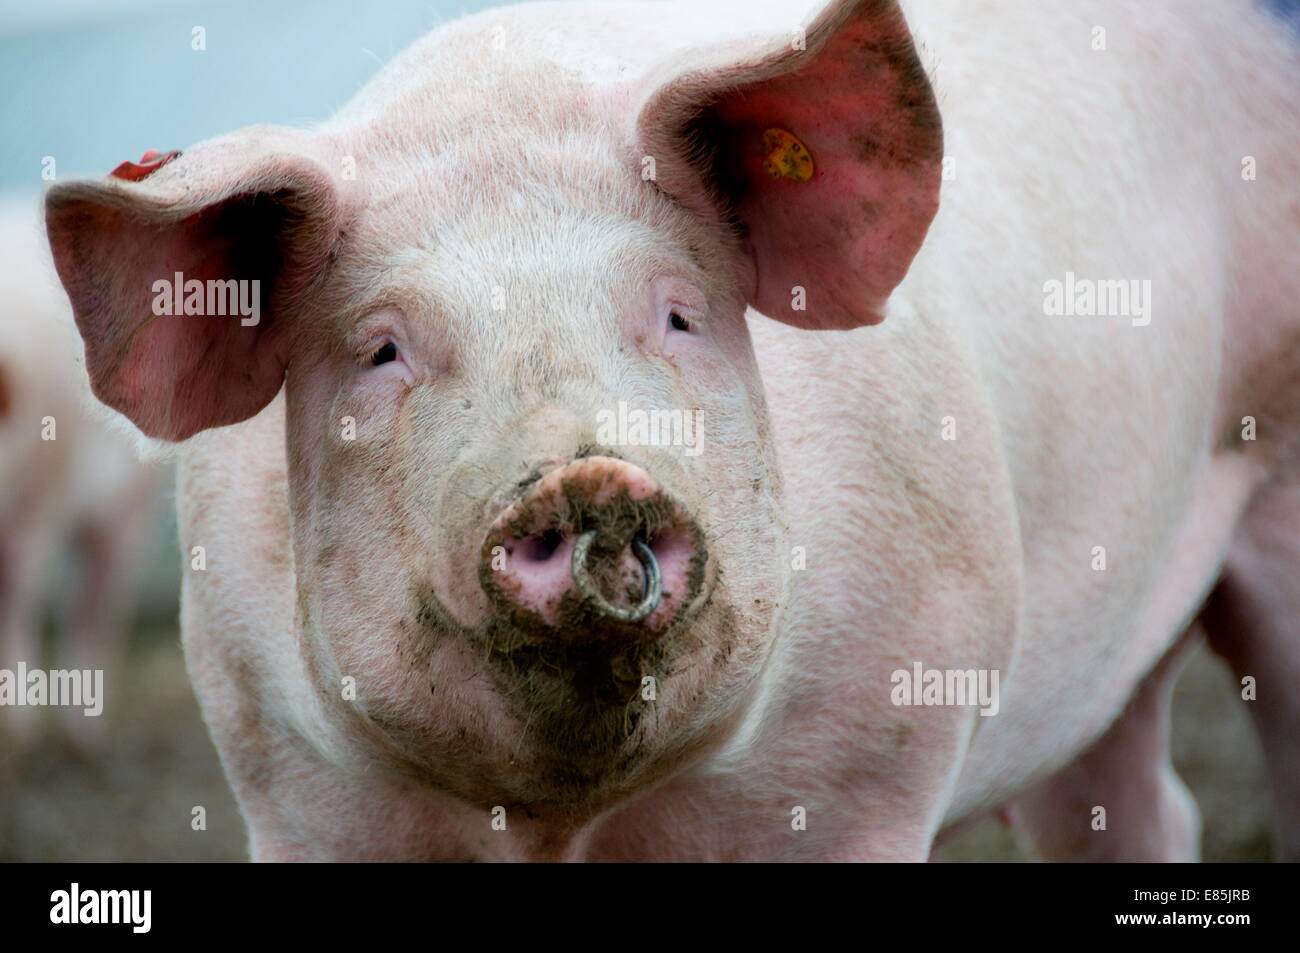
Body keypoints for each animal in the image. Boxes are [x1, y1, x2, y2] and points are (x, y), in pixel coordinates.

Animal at [0, 198, 162, 747]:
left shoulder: (39, 494)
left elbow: (22, 588)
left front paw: (17, 729)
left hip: (128, 504)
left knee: (99, 594)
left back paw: (84, 737)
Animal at [42, 0, 1300, 860]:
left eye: (680, 313)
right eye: (382, 349)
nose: (590, 474)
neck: (562, 822)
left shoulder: (873, 759)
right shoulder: (290, 783)